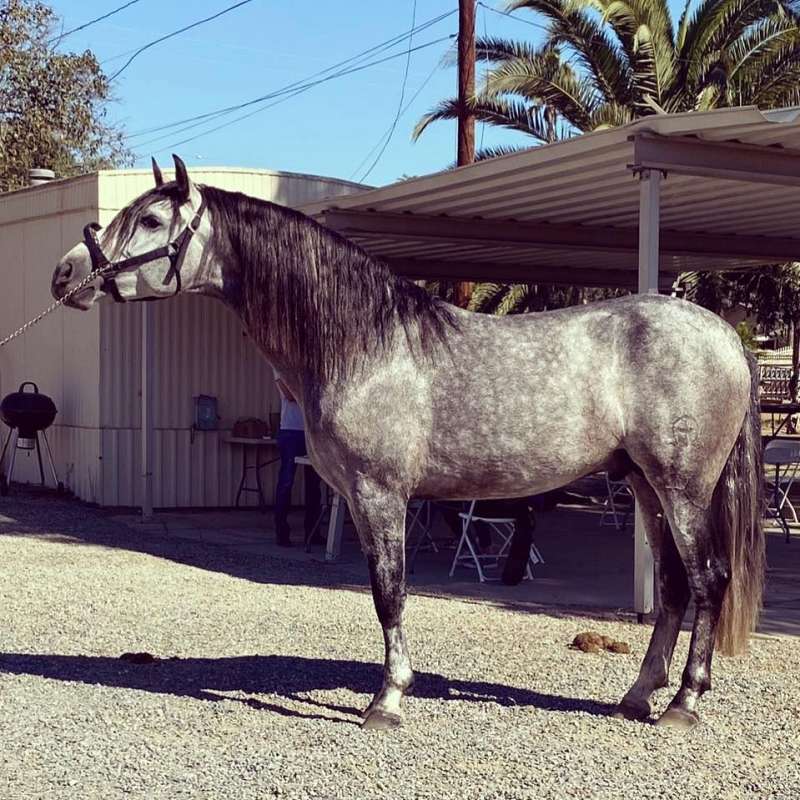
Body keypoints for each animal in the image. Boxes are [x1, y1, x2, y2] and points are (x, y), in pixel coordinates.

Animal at [51, 155, 764, 732]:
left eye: (150, 221)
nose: (65, 273)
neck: (366, 346)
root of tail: (723, 337)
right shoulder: (361, 498)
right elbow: (382, 591)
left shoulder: (381, 494)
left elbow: (389, 592)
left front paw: (387, 702)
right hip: (645, 484)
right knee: (673, 586)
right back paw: (638, 697)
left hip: (682, 488)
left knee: (708, 579)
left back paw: (683, 705)